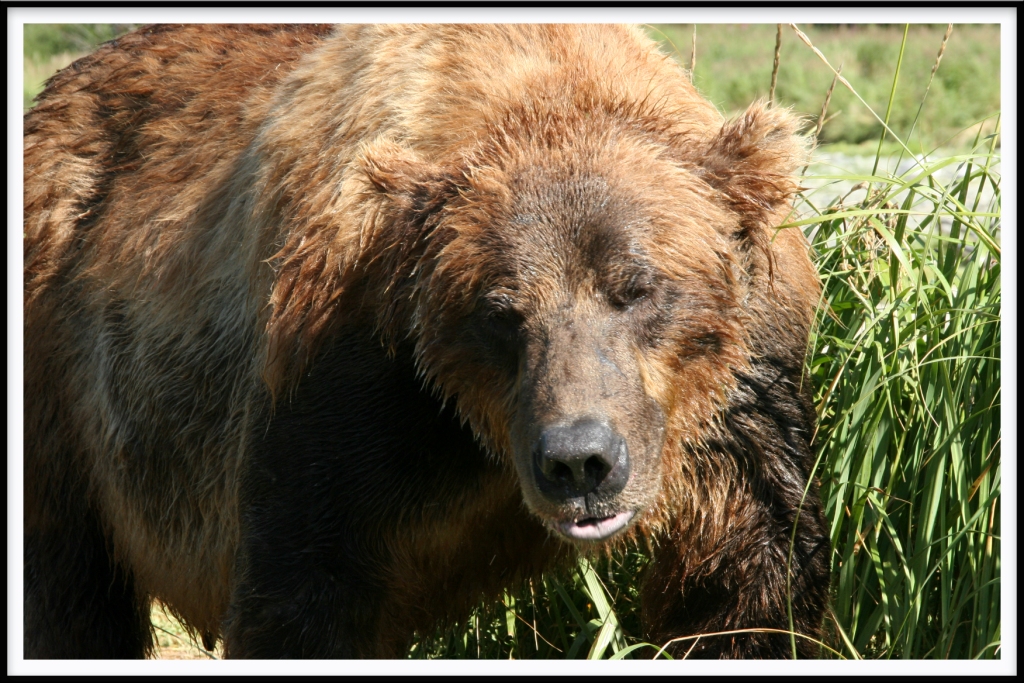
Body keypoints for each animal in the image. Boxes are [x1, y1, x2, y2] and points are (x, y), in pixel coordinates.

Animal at [23, 24, 831, 659]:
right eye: (501, 312)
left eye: (637, 287)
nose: (579, 461)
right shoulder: (348, 387)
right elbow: (303, 591)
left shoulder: (738, 413)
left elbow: (752, 579)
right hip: (66, 391)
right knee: (68, 593)